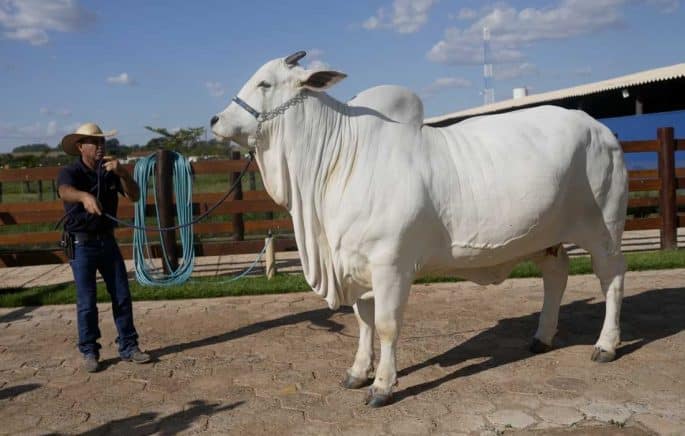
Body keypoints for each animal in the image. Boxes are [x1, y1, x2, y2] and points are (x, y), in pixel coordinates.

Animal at [210, 51, 628, 407]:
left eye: (265, 83)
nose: (214, 120)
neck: (337, 161)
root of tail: (602, 130)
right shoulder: (356, 265)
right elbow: (363, 322)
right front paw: (358, 372)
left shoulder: (390, 265)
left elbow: (386, 325)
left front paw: (382, 385)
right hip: (548, 237)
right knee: (556, 275)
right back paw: (542, 337)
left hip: (603, 230)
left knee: (612, 279)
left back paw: (606, 345)